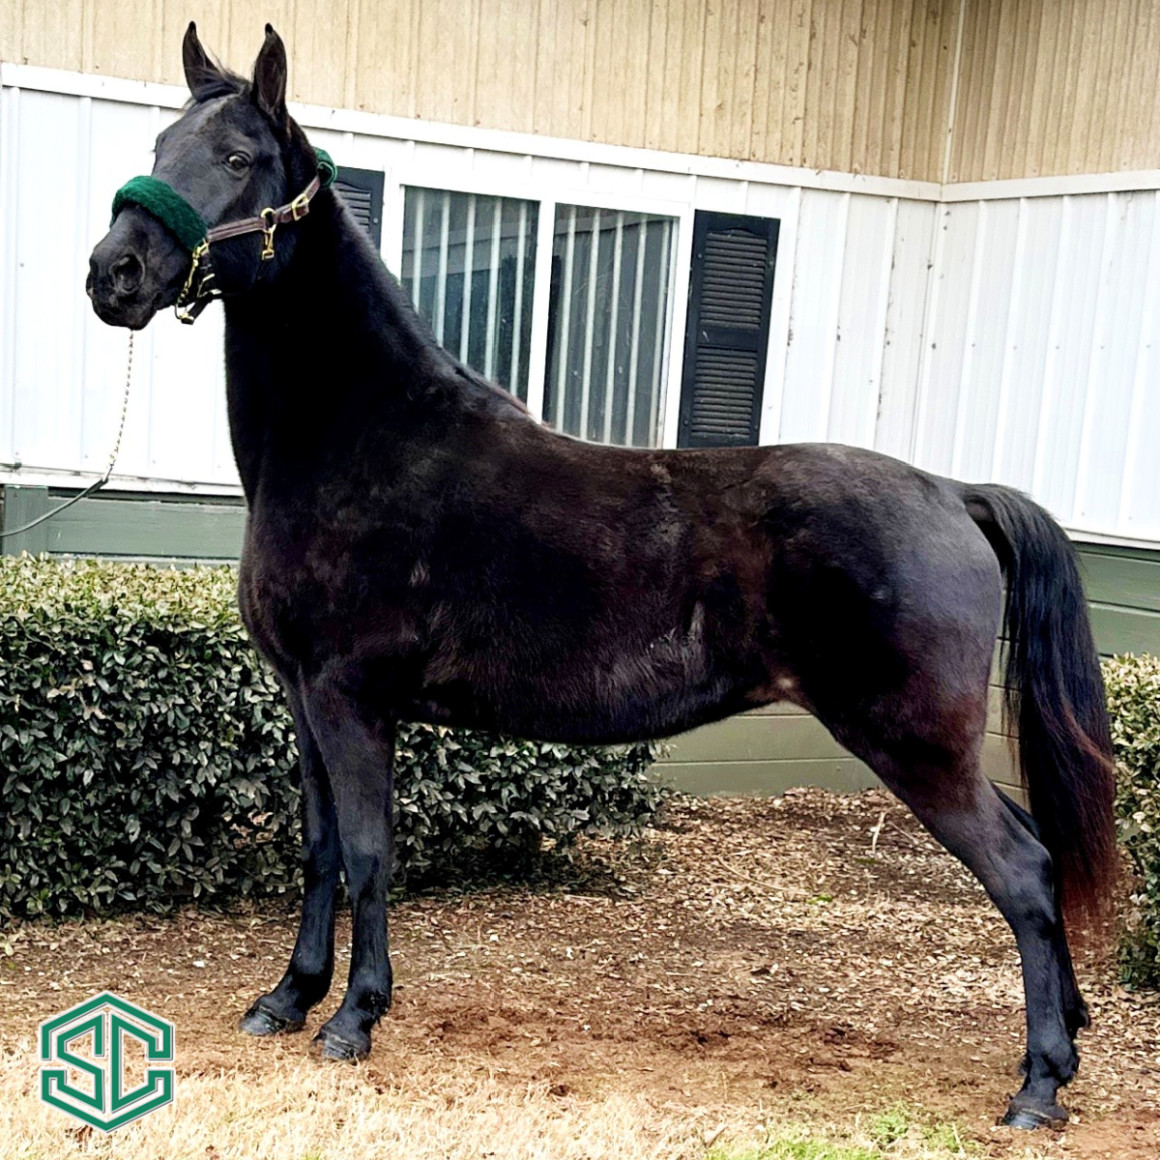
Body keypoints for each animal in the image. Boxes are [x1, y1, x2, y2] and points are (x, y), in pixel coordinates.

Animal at [86, 24, 1116, 1130]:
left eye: (238, 159)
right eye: (161, 140)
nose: (114, 272)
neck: (365, 438)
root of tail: (951, 492)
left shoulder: (349, 697)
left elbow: (366, 851)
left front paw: (354, 1019)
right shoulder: (301, 695)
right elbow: (320, 847)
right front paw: (286, 998)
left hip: (915, 743)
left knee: (1023, 871)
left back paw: (1037, 1083)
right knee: (1036, 856)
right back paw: (1065, 1043)